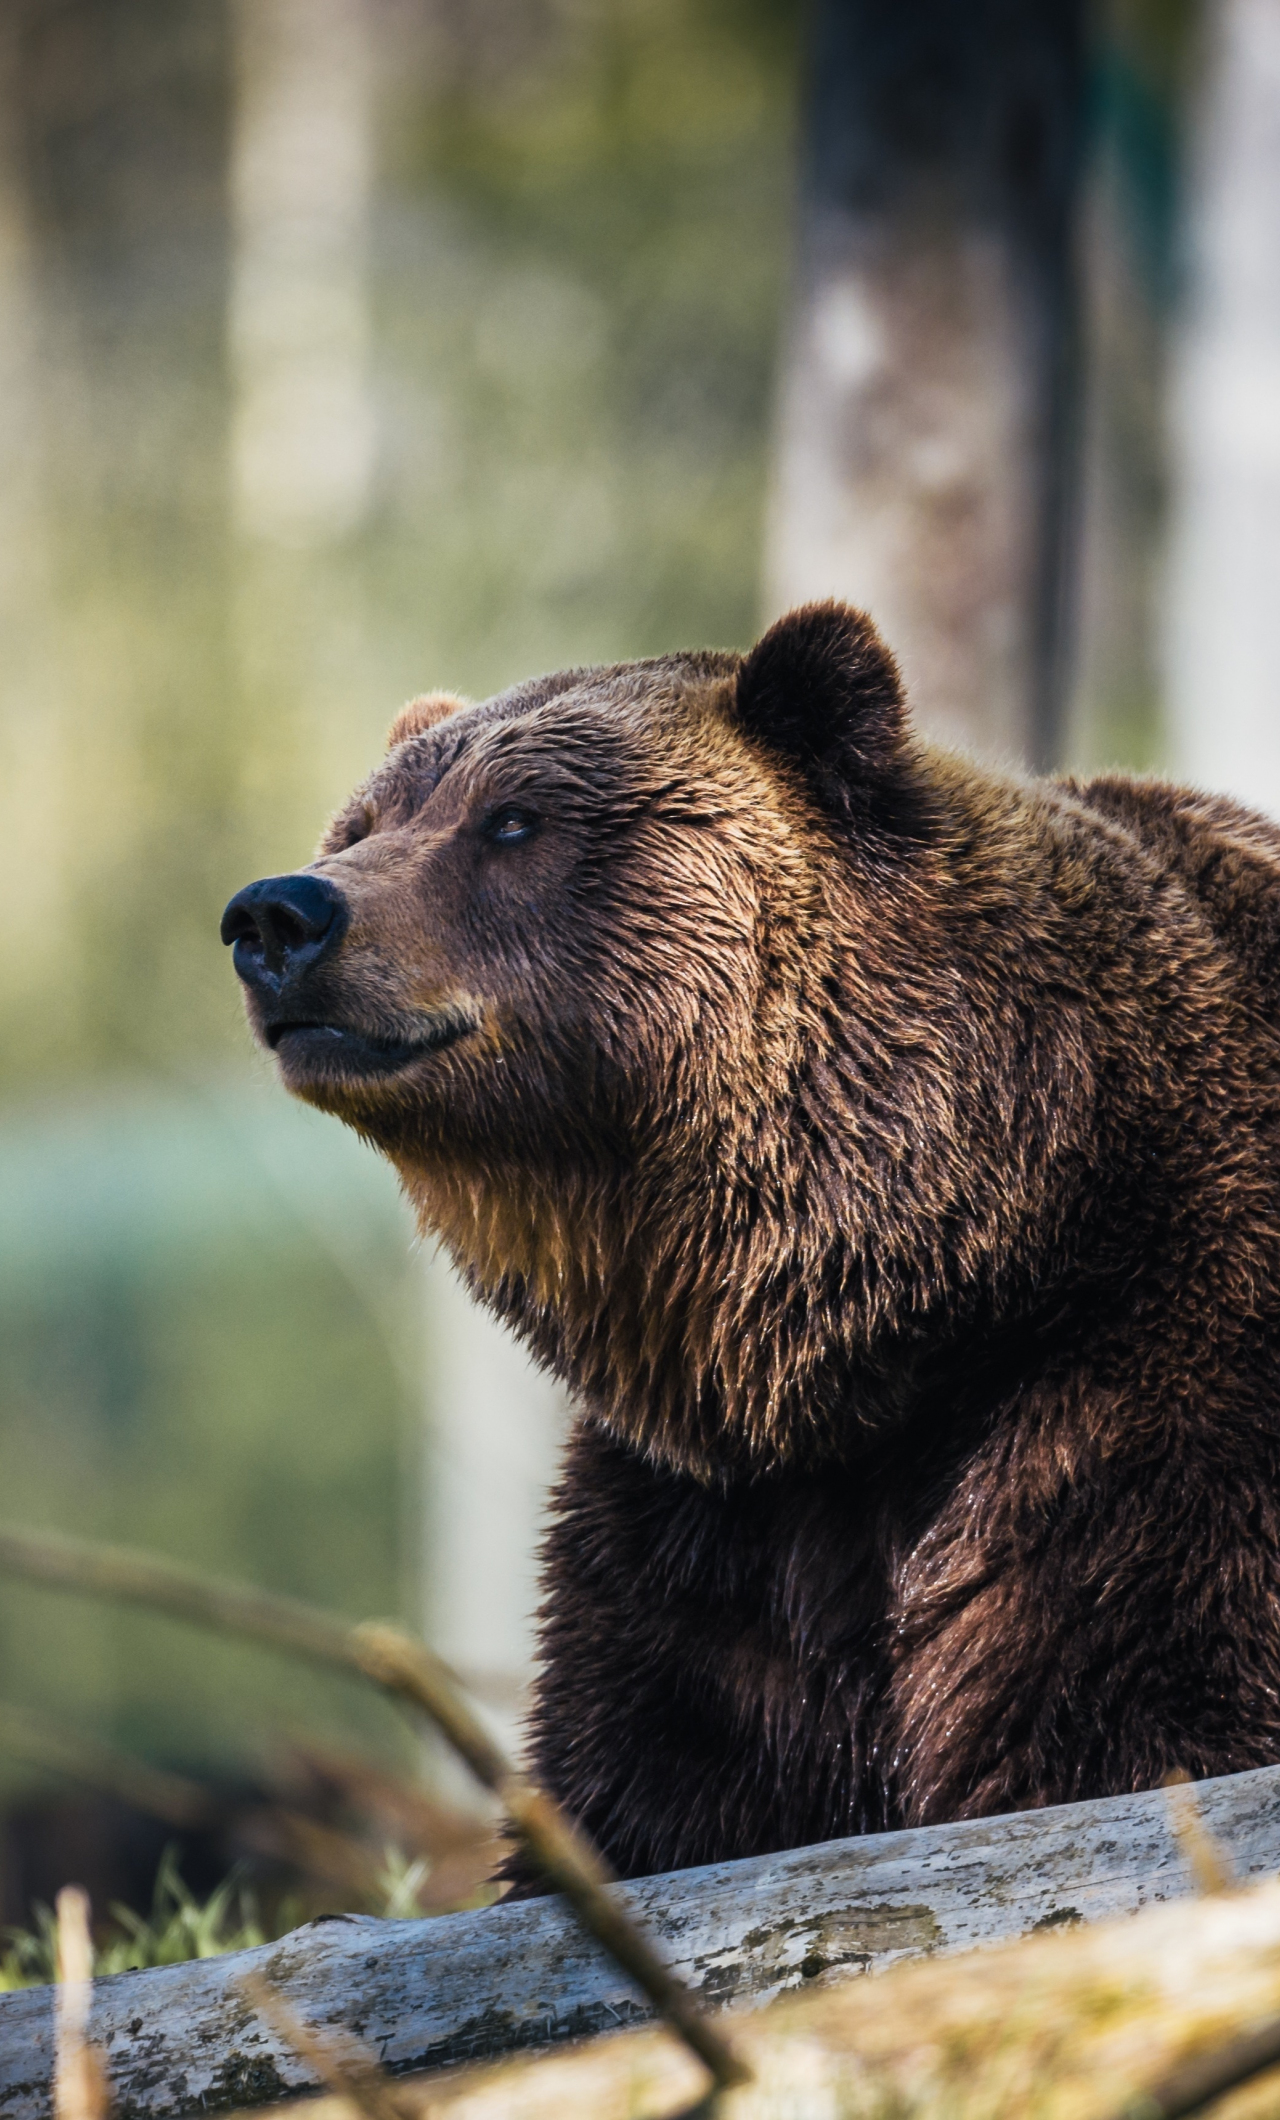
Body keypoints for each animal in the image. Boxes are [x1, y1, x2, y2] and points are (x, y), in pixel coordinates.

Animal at [222, 600, 1280, 1885]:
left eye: (512, 818)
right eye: (362, 822)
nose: (280, 913)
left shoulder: (1148, 1390)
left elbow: (1131, 1713)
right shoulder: (711, 1530)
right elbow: (655, 1780)